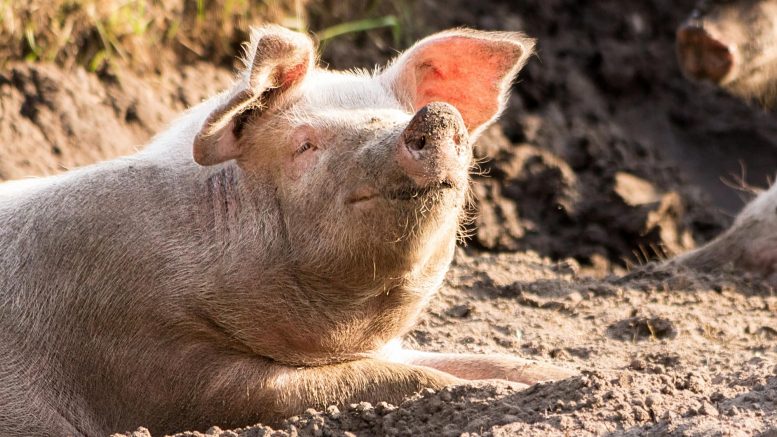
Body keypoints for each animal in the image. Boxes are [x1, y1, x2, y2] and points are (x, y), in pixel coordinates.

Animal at [0, 26, 574, 436]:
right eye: (305, 144)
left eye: (399, 113)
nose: (436, 116)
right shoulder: (155, 363)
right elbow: (389, 379)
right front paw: (488, 391)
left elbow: (487, 359)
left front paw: (564, 378)